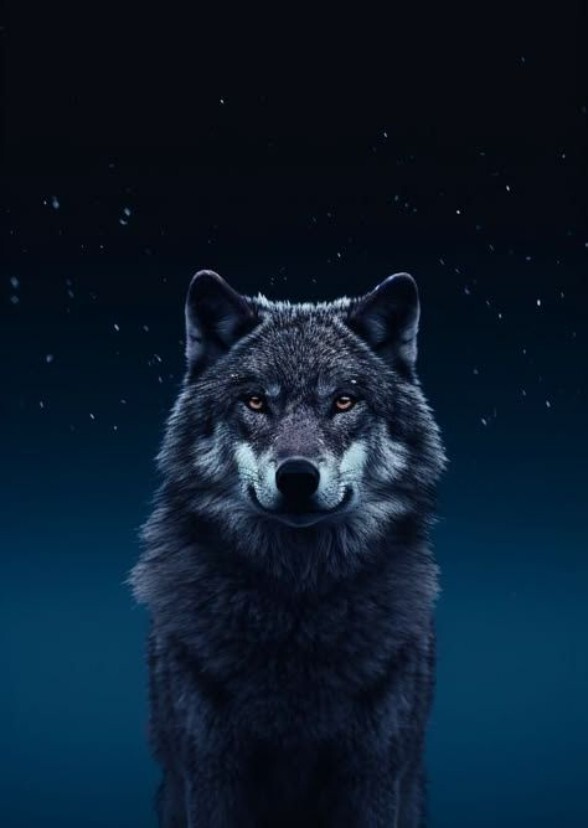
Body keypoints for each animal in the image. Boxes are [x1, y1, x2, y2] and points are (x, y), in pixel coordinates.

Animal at [129, 269, 447, 827]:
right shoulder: (210, 770)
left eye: (343, 401)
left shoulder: (376, 772)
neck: (297, 608)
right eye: (256, 401)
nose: (297, 476)